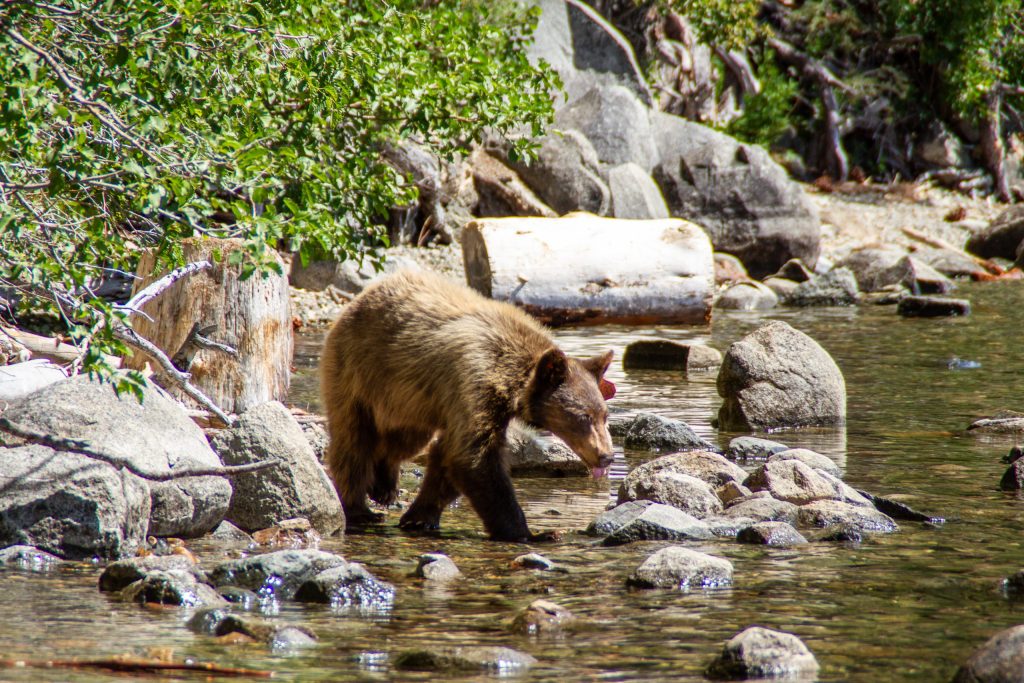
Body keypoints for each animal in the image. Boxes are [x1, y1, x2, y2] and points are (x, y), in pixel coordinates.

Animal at [319, 269, 614, 542]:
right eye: (583, 417)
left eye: (604, 415)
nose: (607, 456)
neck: (509, 379)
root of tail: (361, 297)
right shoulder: (473, 383)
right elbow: (473, 458)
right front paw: (533, 533)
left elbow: (449, 456)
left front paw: (420, 517)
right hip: (358, 372)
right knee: (353, 440)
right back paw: (360, 508)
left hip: (407, 401)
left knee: (403, 440)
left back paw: (384, 486)